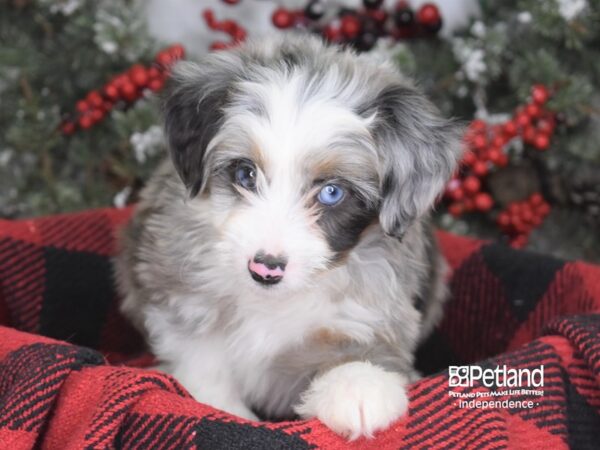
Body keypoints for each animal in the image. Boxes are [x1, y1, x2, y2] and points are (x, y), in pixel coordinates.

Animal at [118, 35, 464, 440]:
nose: (265, 268)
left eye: (332, 192)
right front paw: (216, 407)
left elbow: (363, 338)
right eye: (245, 173)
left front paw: (358, 384)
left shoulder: (379, 301)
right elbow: (203, 360)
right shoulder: (178, 286)